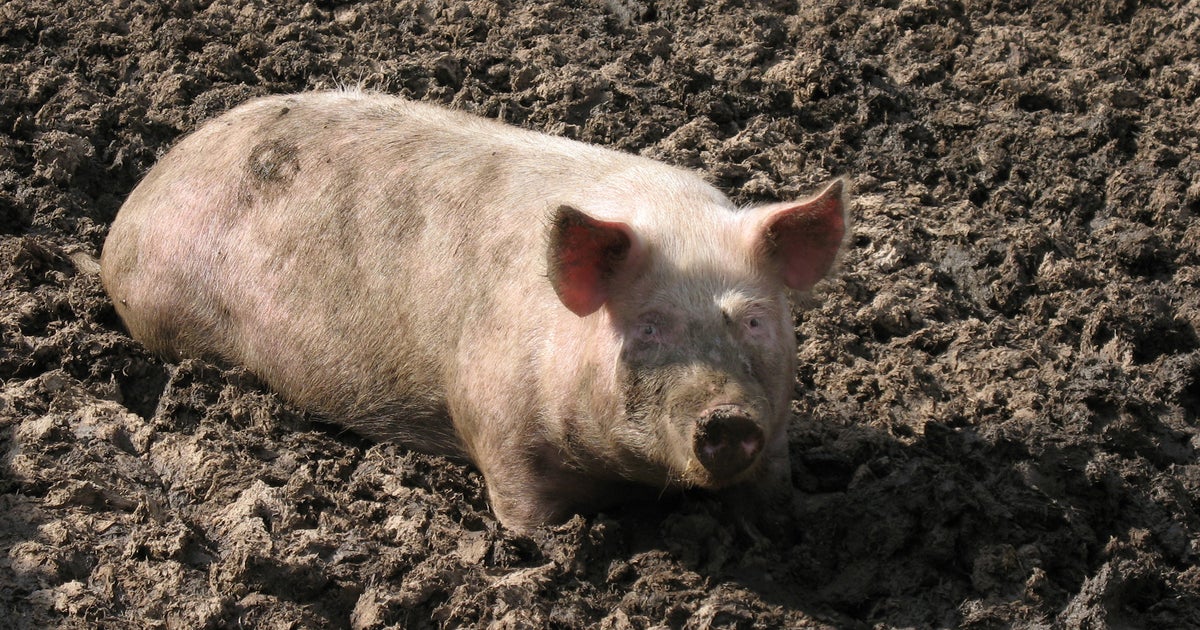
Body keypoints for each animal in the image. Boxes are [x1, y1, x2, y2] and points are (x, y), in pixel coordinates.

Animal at [100, 90, 847, 533]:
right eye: (648, 326)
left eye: (753, 319)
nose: (726, 418)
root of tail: (134, 206)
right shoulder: (498, 424)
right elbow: (528, 519)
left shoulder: (775, 429)